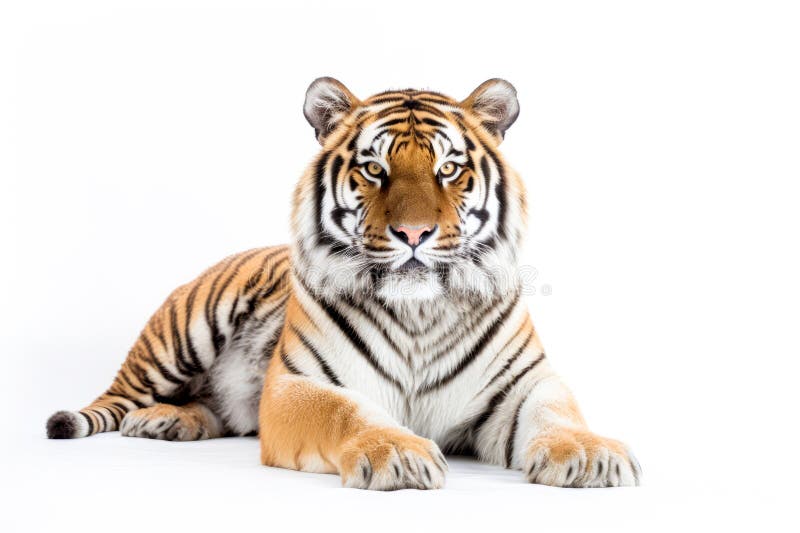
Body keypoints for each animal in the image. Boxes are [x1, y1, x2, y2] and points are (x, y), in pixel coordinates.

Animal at [46, 77, 641, 490]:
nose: (413, 233)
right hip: (181, 333)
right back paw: (146, 417)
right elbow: (345, 411)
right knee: (114, 398)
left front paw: (591, 454)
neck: (420, 312)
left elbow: (558, 414)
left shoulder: (524, 385)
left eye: (448, 169)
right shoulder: (295, 385)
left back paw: (171, 422)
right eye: (374, 170)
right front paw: (397, 453)